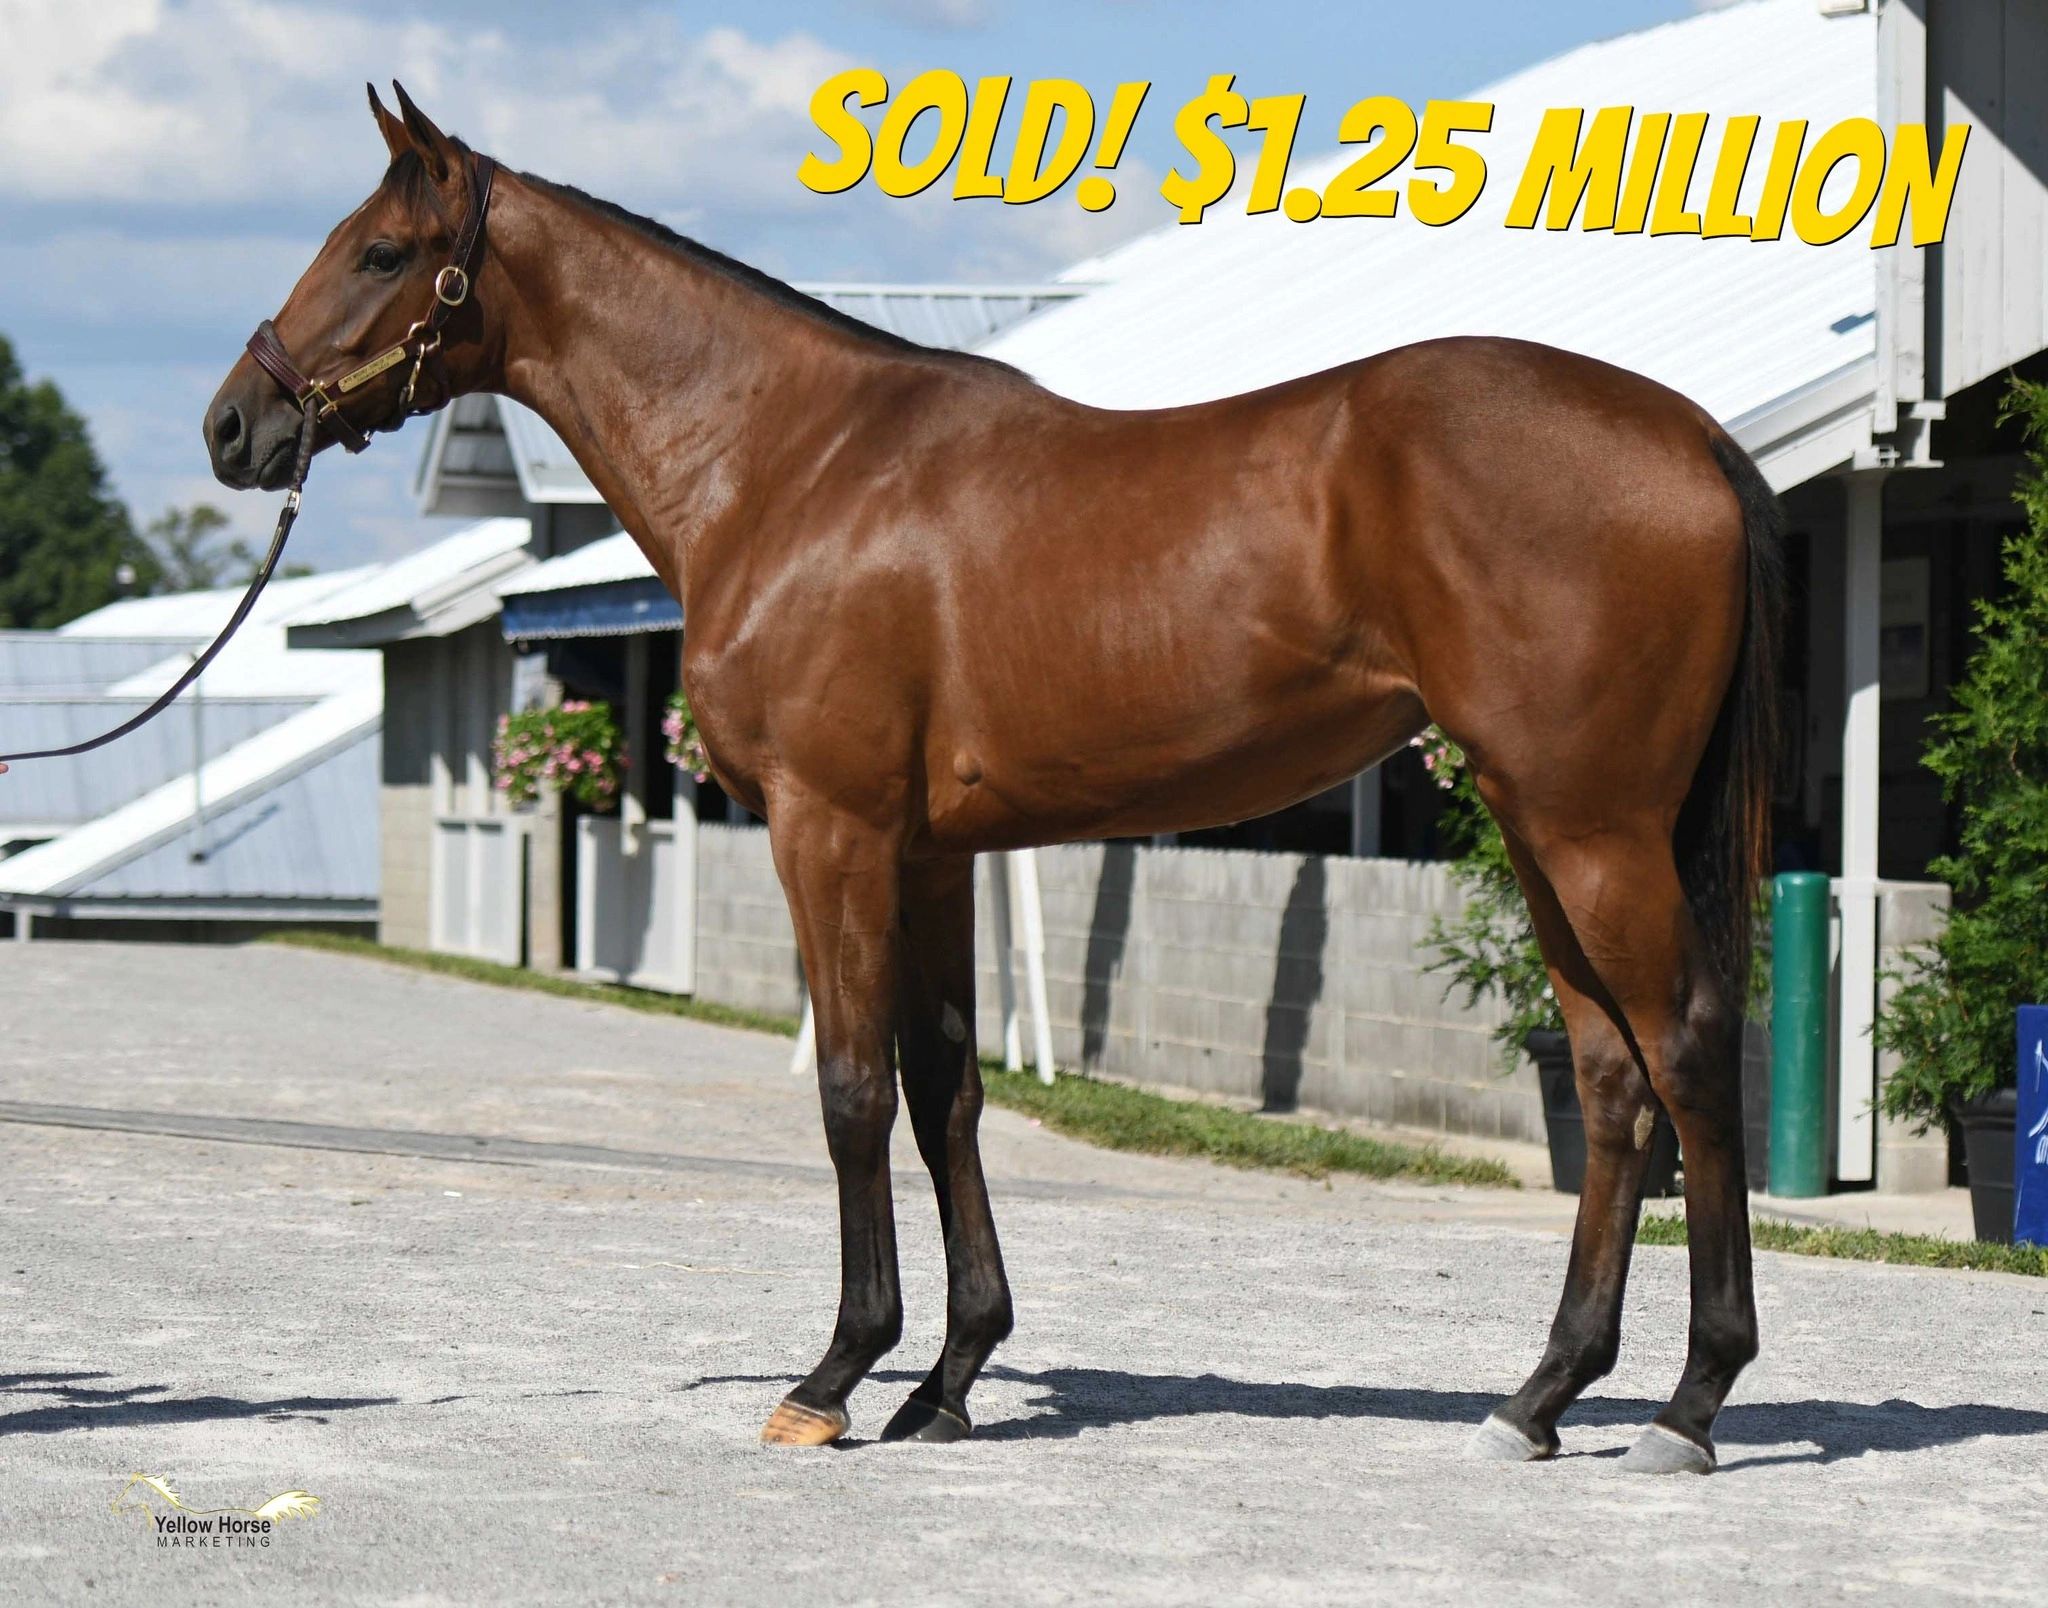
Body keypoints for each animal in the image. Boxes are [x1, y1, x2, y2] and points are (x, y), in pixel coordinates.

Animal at [205, 85, 1781, 1475]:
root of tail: (1693, 434)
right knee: (1610, 1080)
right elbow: (944, 1088)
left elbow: (850, 1089)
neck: (793, 465)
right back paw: (1539, 1397)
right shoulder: (931, 851)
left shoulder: (828, 831)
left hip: (1592, 830)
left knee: (1691, 1053)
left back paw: (1689, 1406)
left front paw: (834, 1378)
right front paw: (949, 1380)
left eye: (382, 251)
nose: (235, 426)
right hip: (1540, 827)